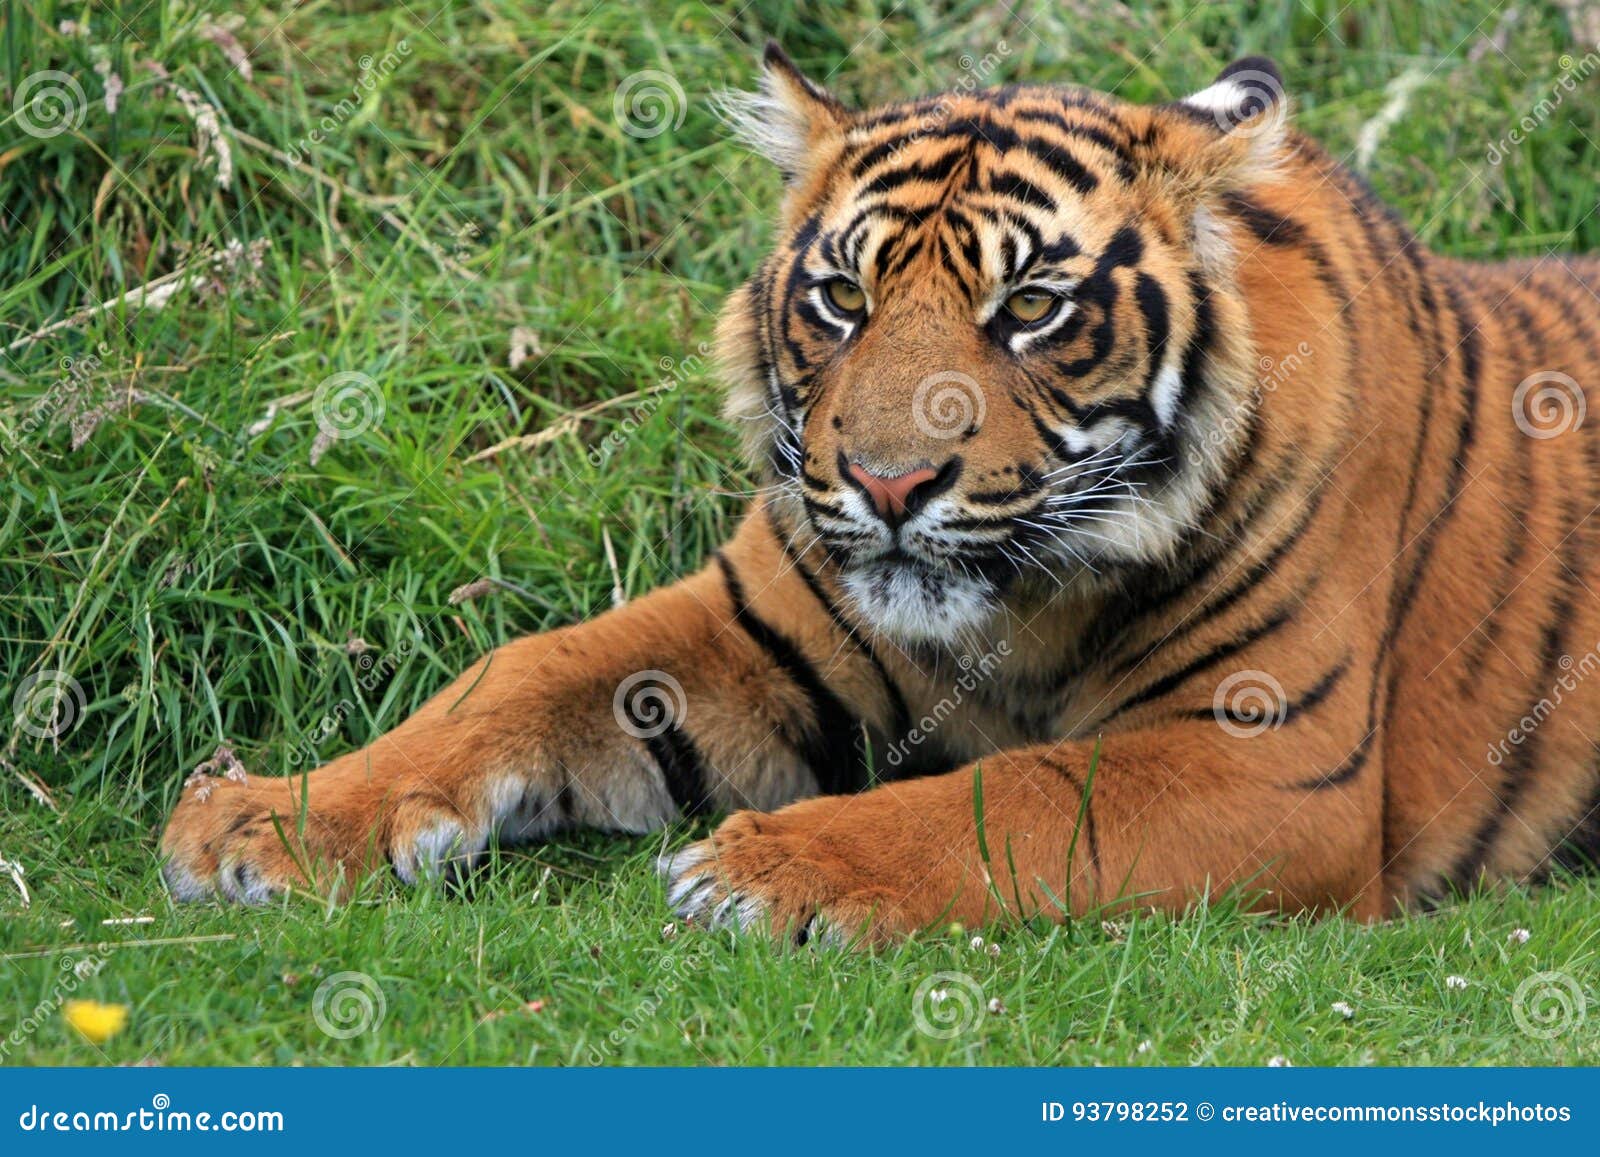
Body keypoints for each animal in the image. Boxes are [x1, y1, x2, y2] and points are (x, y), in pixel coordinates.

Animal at [161, 45, 1600, 945]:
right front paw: (262, 819)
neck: (1020, 609)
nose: (890, 480)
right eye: (843, 296)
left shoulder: (1273, 751)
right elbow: (517, 673)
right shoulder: (747, 622)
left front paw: (769, 865)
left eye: (1030, 308)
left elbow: (1021, 792)